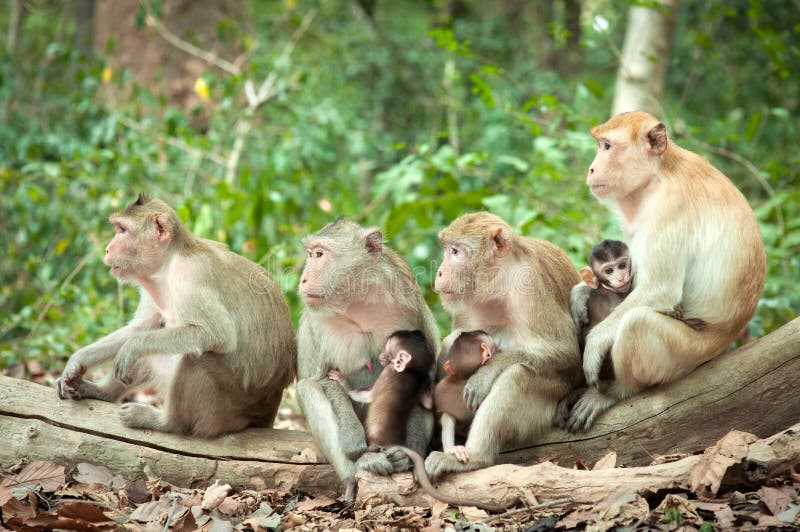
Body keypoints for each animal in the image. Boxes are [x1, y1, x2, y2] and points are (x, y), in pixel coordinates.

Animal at [53, 194, 296, 437]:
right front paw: (79, 359)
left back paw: (167, 423)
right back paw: (101, 392)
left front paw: (132, 347)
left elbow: (217, 335)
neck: (169, 264)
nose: (106, 249)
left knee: (196, 357)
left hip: (226, 411)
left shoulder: (193, 277)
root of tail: (267, 413)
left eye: (122, 230)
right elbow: (140, 328)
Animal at [294, 219, 440, 501]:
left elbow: (424, 374)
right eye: (311, 254)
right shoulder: (318, 322)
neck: (356, 301)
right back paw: (358, 469)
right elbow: (323, 379)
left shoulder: (408, 303)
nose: (303, 278)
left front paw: (409, 453)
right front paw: (356, 449)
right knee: (308, 388)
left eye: (319, 254)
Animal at [561, 111, 766, 433]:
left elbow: (659, 289)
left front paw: (594, 343)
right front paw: (582, 292)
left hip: (689, 352)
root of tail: (726, 337)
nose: (592, 168)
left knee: (637, 324)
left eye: (607, 146)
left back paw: (618, 391)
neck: (657, 176)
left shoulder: (669, 207)